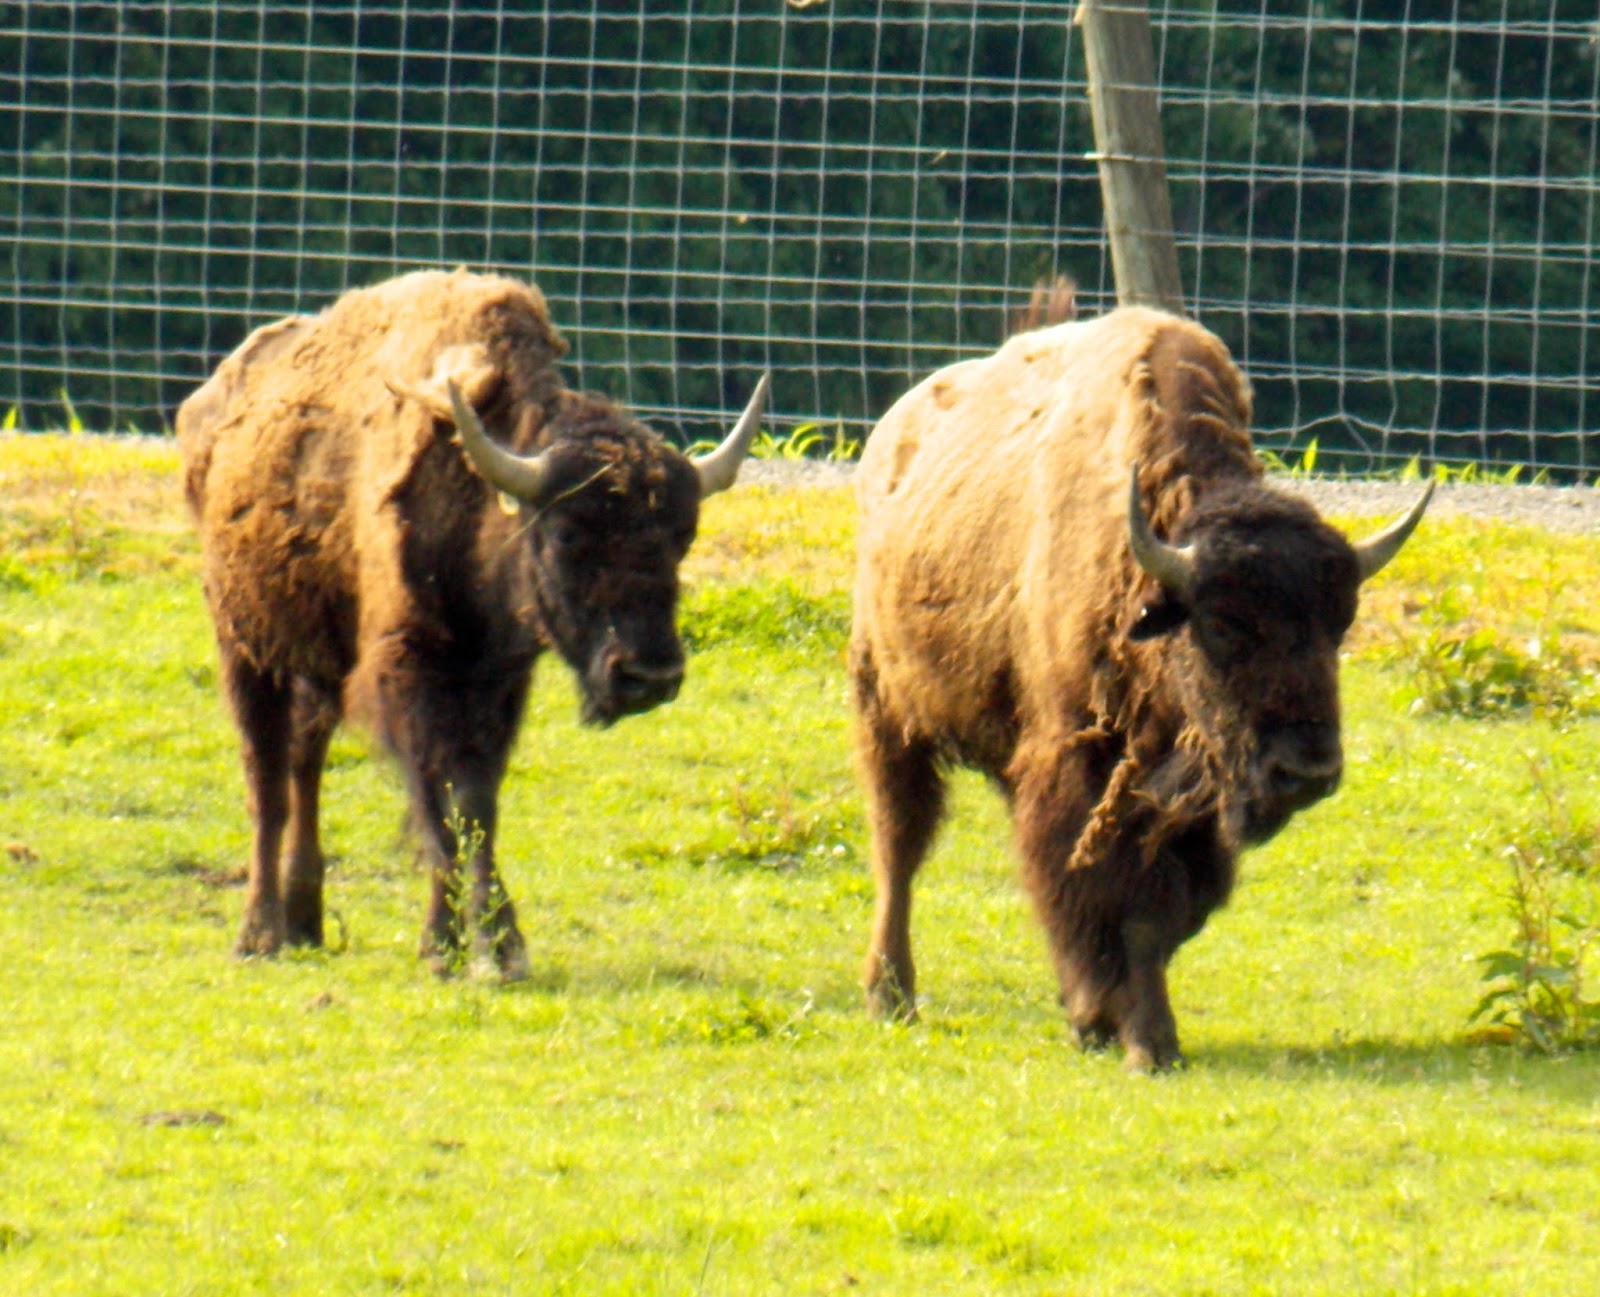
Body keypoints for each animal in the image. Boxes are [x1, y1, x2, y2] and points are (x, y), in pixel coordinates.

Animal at [178, 269, 768, 978]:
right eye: (566, 533)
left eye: (683, 537)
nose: (648, 677)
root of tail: (213, 400)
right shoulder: (410, 674)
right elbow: (439, 801)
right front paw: (461, 948)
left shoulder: (495, 687)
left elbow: (476, 804)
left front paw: (482, 945)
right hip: (245, 644)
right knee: (266, 779)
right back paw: (260, 933)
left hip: (315, 664)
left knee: (303, 765)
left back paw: (306, 923)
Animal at [849, 305, 1430, 1069]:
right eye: (1223, 624)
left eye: (1339, 624)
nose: (1306, 771)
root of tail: (892, 434)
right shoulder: (1080, 767)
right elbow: (1099, 892)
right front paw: (1136, 1039)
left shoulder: (1184, 802)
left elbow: (1154, 917)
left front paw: (1121, 1026)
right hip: (889, 711)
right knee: (899, 847)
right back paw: (890, 995)